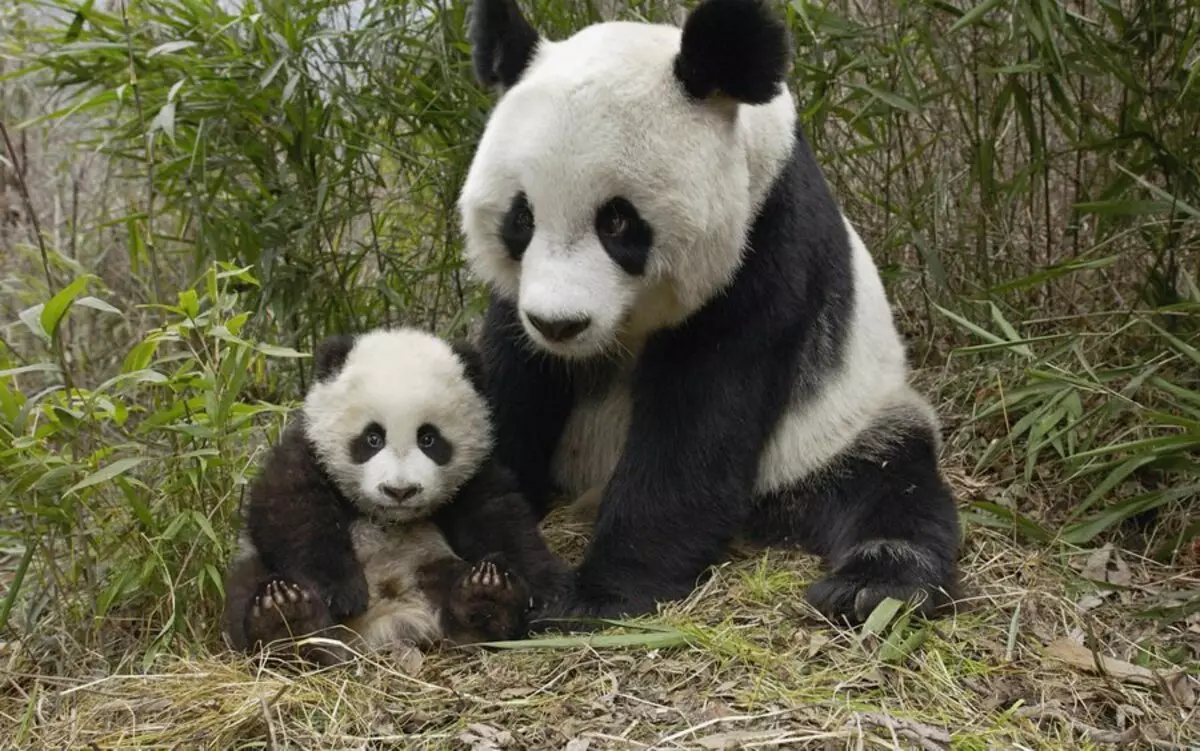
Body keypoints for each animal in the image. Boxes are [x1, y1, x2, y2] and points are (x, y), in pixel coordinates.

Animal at [453, 0, 960, 623]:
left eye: (616, 221)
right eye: (521, 218)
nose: (559, 325)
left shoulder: (765, 246)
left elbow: (699, 420)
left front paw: (597, 596)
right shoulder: (519, 302)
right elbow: (513, 382)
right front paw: (492, 559)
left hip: (840, 424)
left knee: (890, 482)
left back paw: (873, 585)